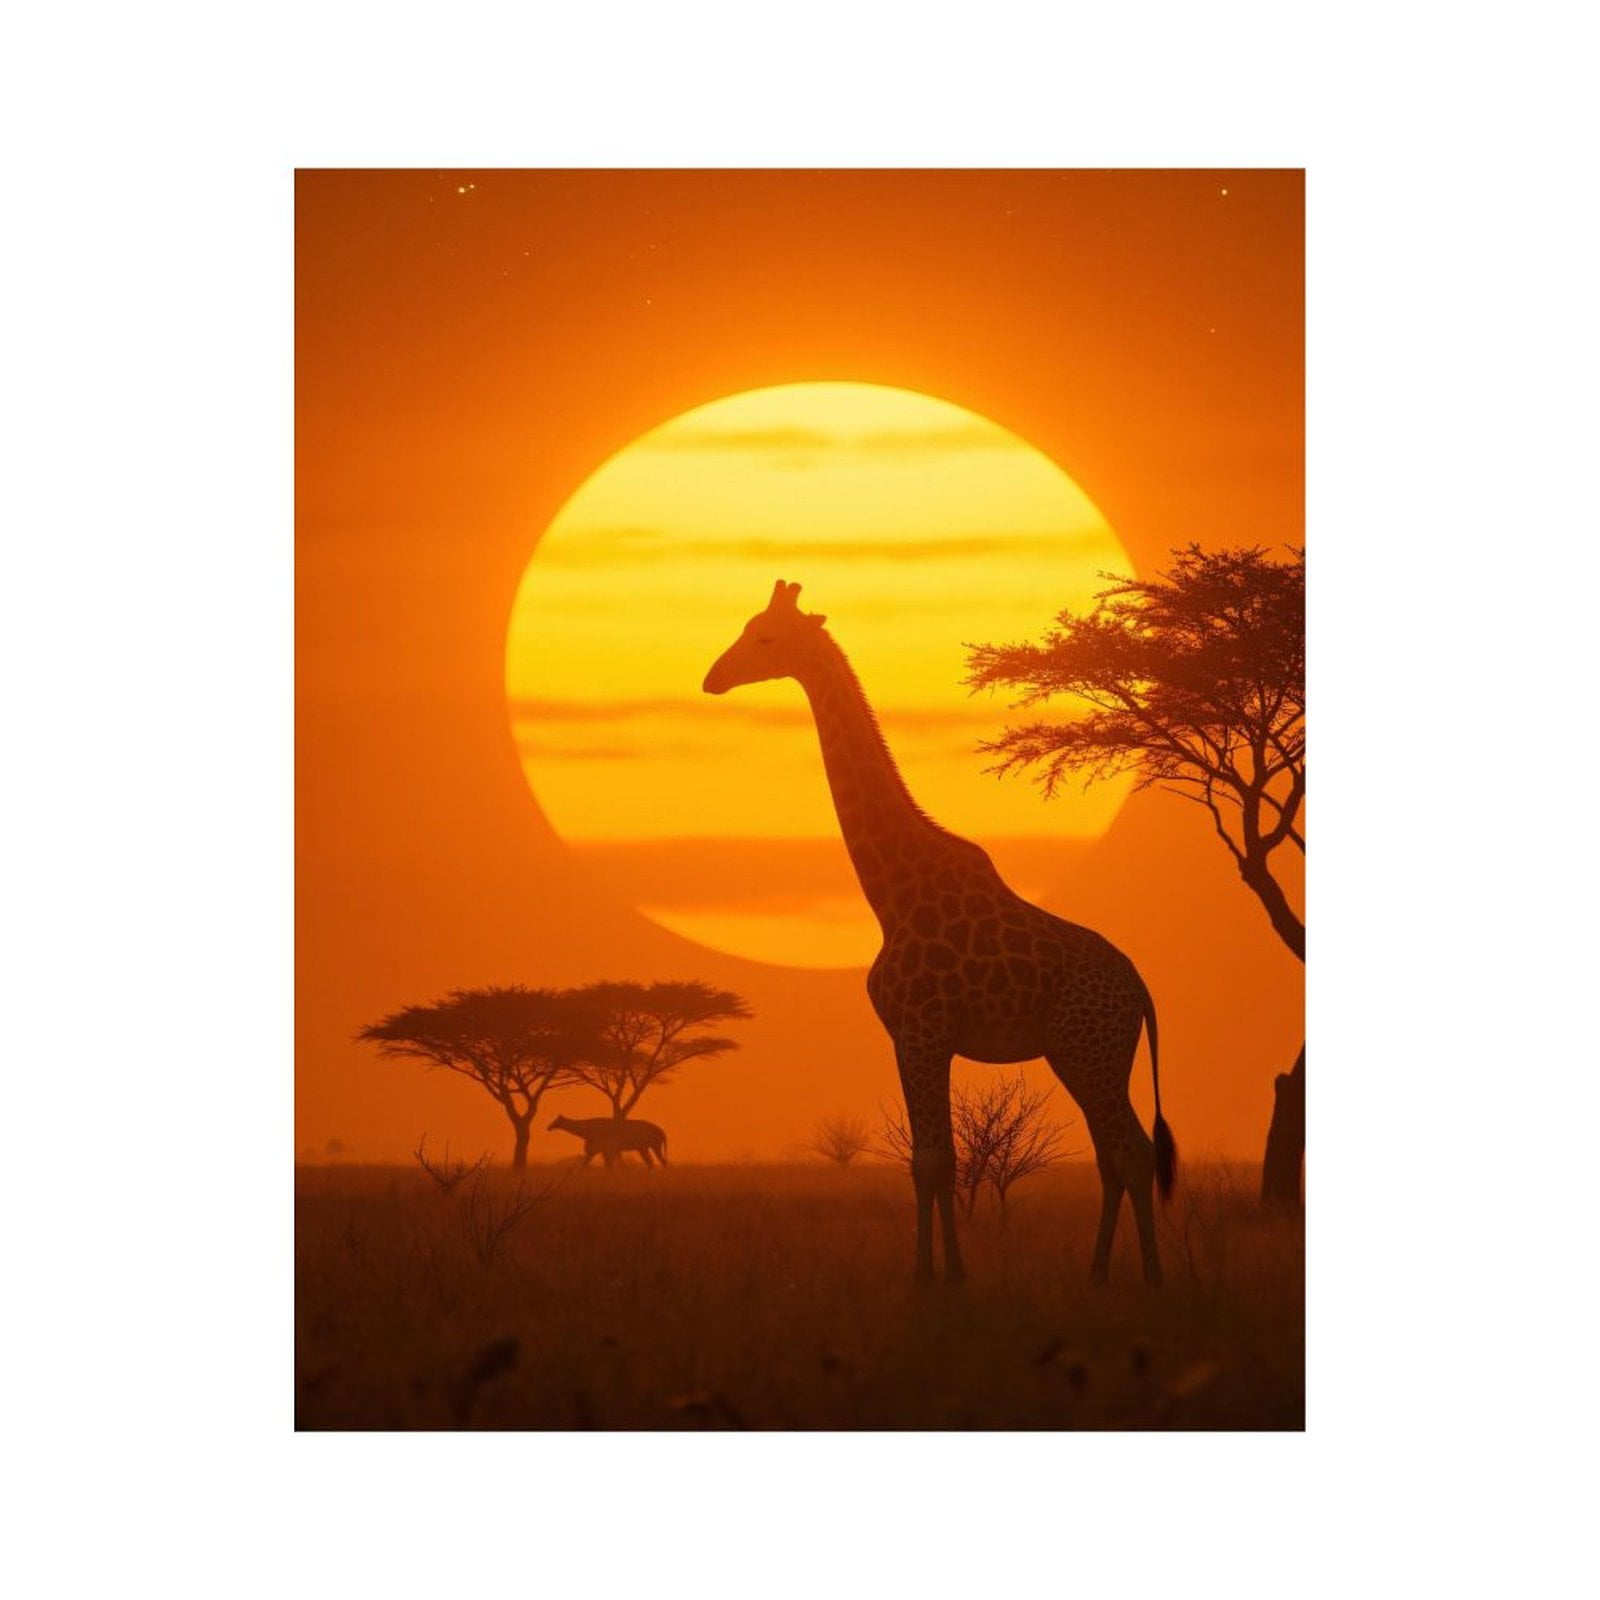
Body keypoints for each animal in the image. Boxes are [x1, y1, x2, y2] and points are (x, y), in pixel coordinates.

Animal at [703, 581, 1176, 1285]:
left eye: (764, 637)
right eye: (745, 626)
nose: (713, 678)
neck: (891, 896)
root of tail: (1140, 990)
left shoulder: (922, 1031)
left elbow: (931, 1161)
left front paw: (932, 1278)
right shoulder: (911, 1037)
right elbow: (934, 1159)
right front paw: (949, 1271)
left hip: (1091, 1049)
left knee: (1134, 1152)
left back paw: (1151, 1277)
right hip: (1082, 1054)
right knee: (1113, 1154)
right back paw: (1096, 1274)